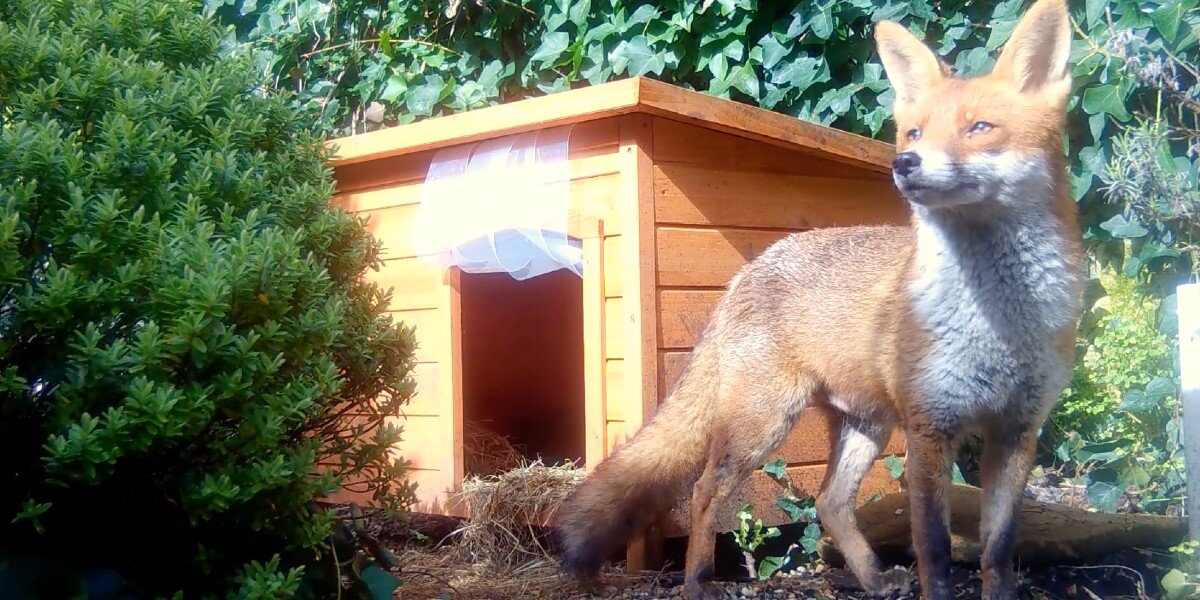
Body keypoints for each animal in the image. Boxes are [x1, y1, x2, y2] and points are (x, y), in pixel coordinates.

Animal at [553, 0, 1083, 599]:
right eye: (914, 132)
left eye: (980, 128)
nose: (905, 163)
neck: (997, 324)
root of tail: (748, 270)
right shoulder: (931, 428)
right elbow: (936, 550)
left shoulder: (1018, 430)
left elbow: (997, 551)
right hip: (764, 423)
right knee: (706, 491)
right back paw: (698, 582)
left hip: (865, 426)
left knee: (829, 502)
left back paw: (873, 579)